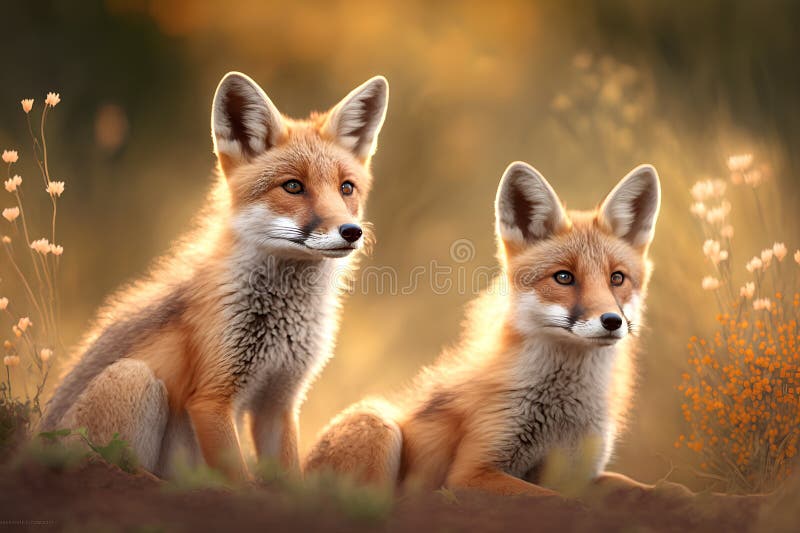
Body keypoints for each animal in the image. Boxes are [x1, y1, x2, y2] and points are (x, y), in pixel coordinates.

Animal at [40, 71, 389, 481]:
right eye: (293, 186)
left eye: (346, 188)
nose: (352, 231)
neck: (284, 321)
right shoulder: (211, 398)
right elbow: (240, 480)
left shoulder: (280, 401)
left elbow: (288, 477)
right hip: (133, 378)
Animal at [305, 161, 661, 497]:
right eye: (563, 277)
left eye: (617, 278)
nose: (612, 321)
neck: (562, 412)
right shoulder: (474, 472)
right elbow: (557, 500)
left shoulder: (579, 474)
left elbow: (643, 487)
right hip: (376, 423)